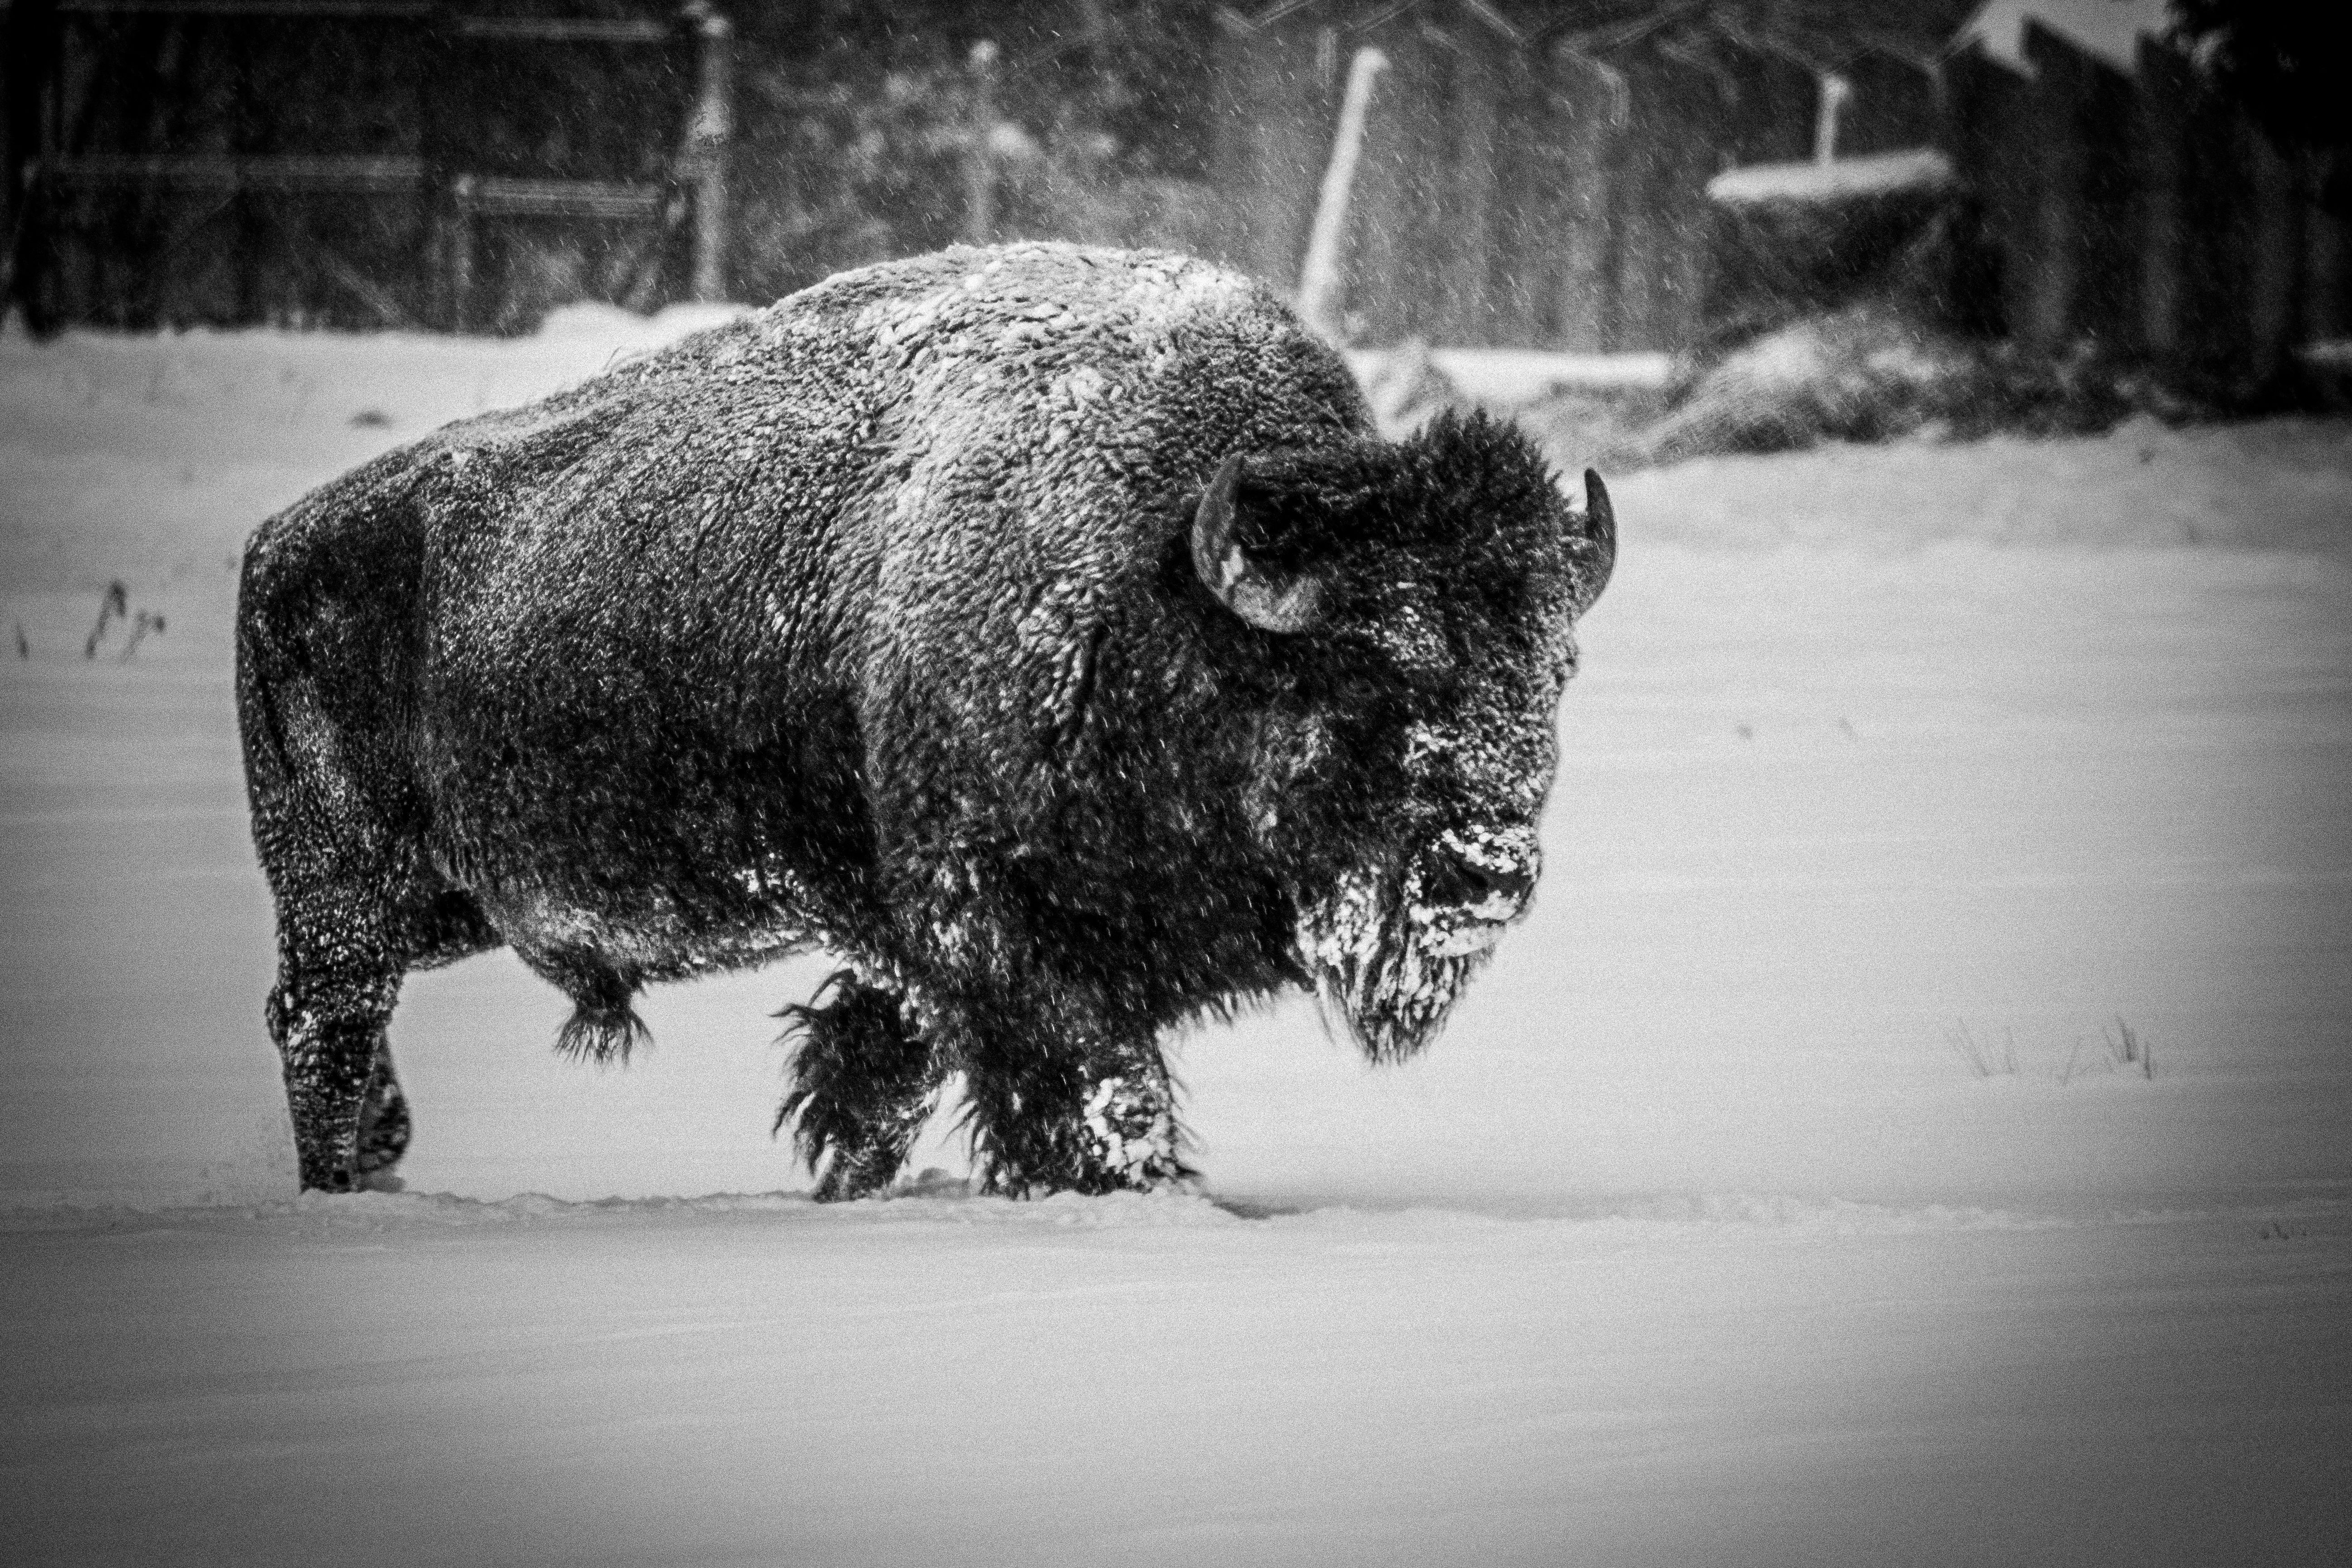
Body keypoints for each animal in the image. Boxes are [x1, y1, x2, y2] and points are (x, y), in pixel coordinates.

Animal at [236, 243, 1614, 1197]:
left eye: (1552, 671)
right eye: (1373, 666)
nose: (1487, 871)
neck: (1161, 575)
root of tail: (282, 538)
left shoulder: (921, 938)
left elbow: (871, 1074)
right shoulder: (990, 923)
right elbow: (1098, 1090)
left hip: (439, 908)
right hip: (345, 900)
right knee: (323, 1026)